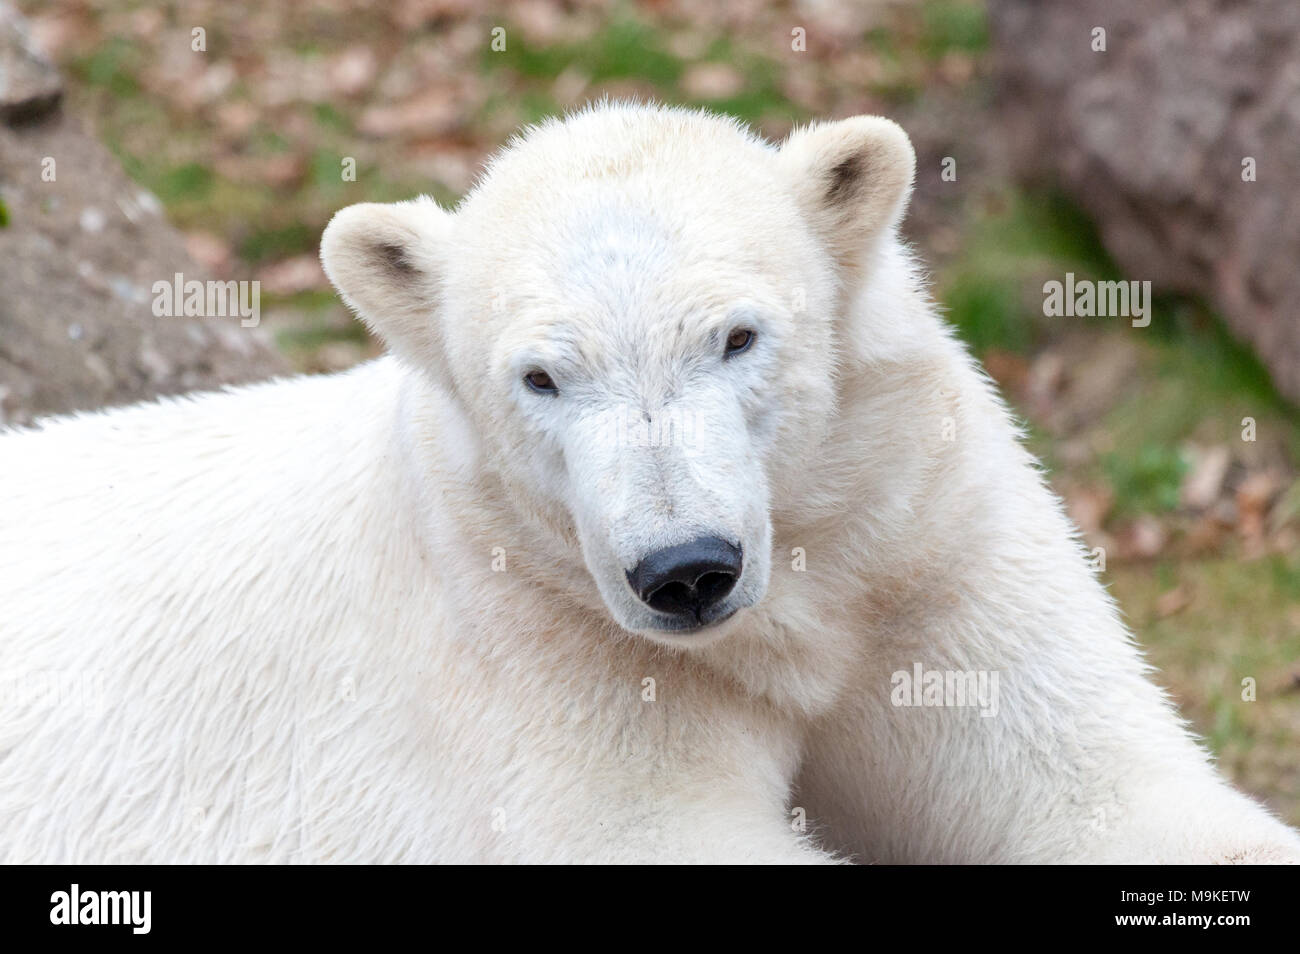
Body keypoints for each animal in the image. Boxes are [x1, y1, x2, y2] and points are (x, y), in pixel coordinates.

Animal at [1, 102, 1297, 863]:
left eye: (735, 336)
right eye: (539, 376)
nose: (686, 570)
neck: (777, 627)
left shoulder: (918, 542)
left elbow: (1090, 790)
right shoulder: (543, 633)